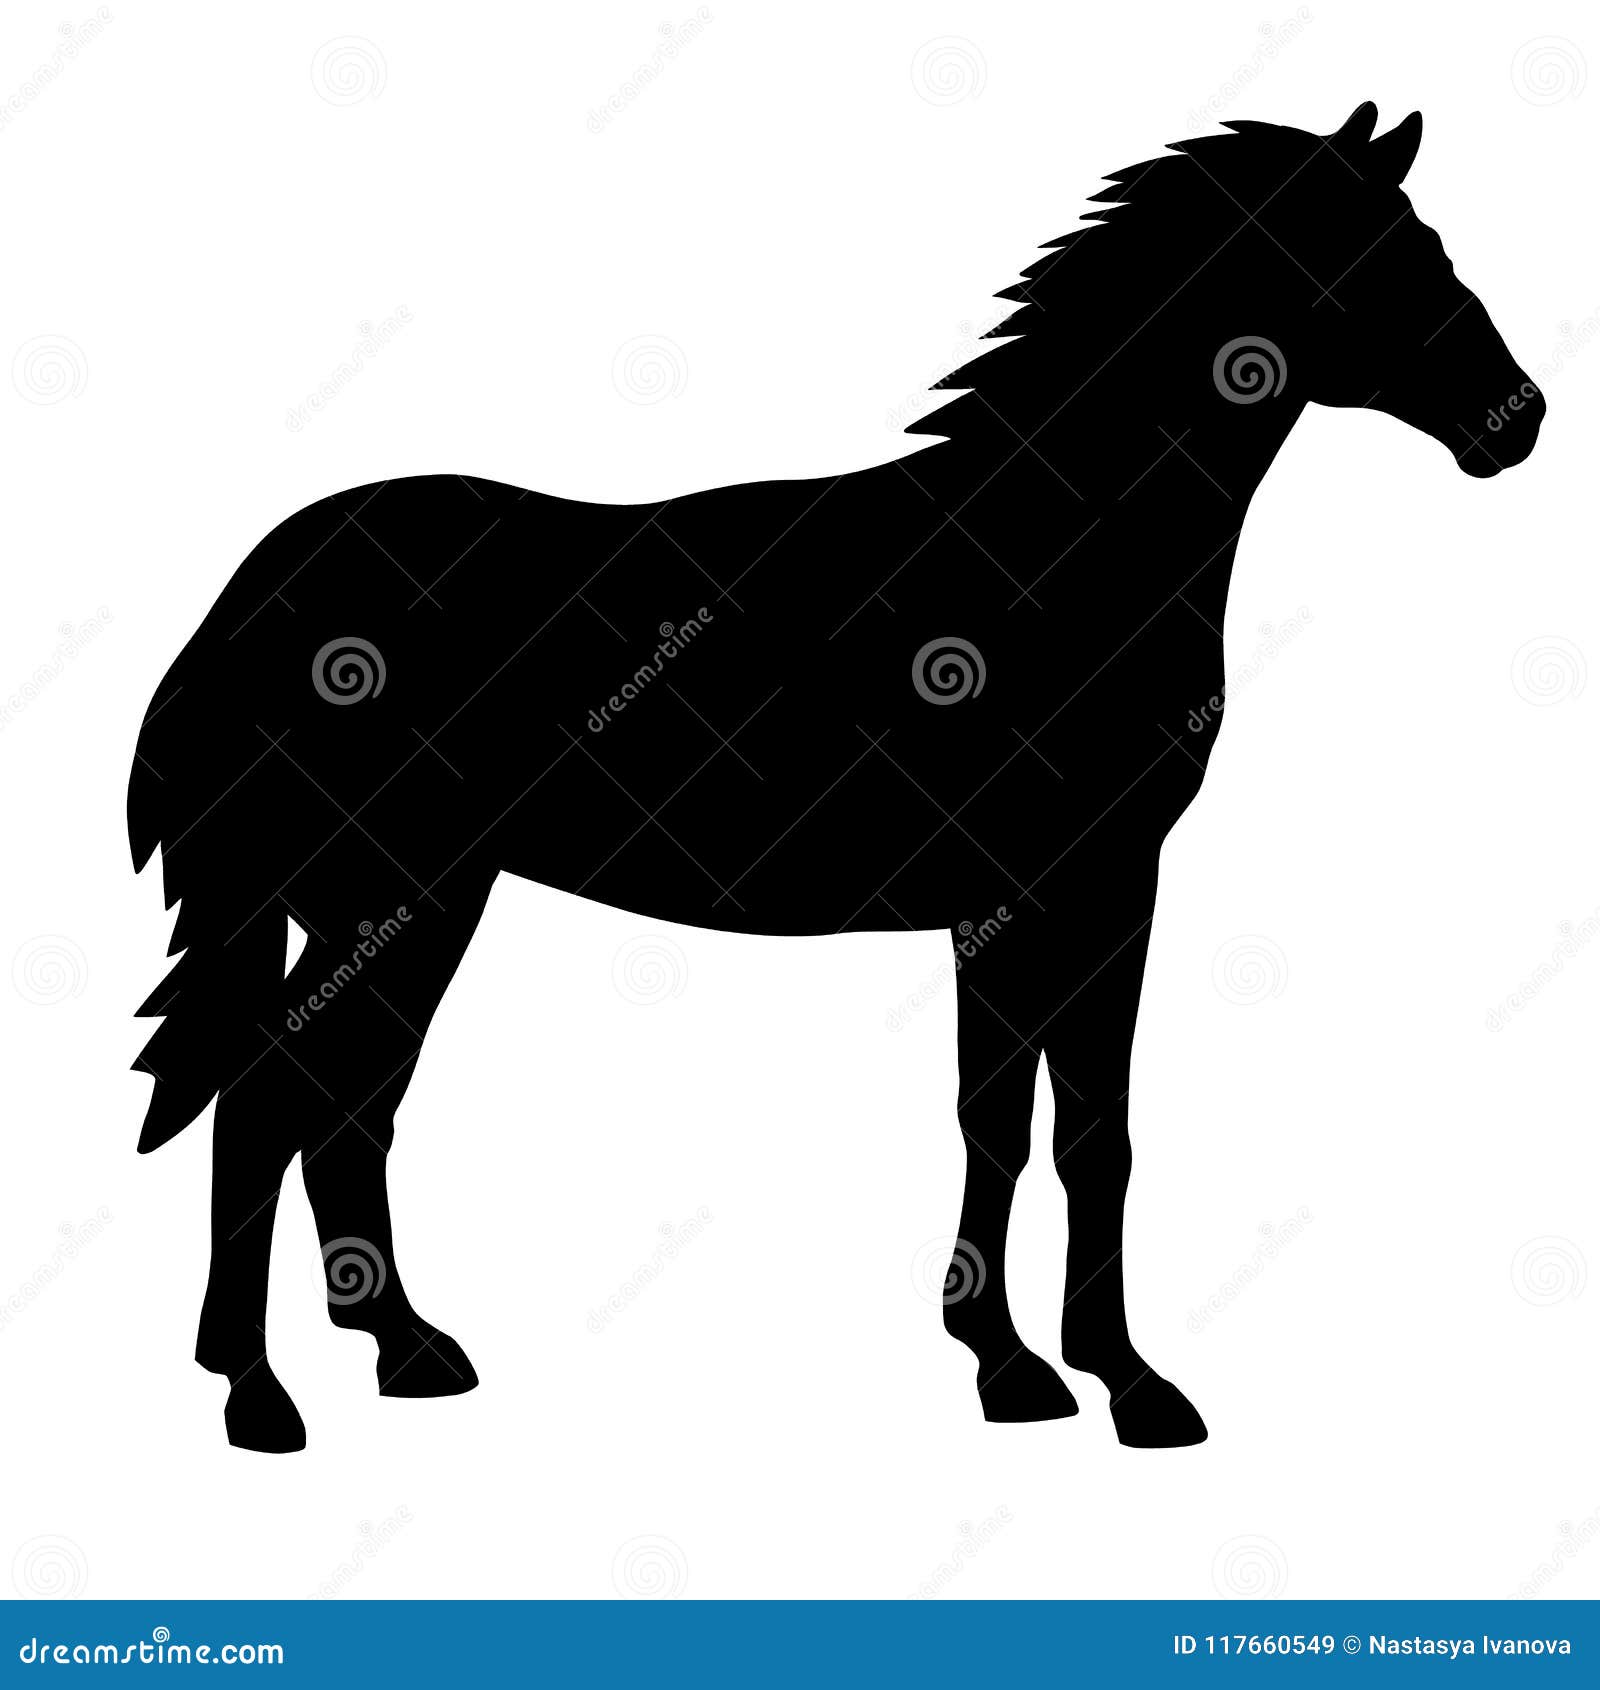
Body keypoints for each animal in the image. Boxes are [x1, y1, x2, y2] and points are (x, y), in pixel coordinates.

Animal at [128, 104, 1543, 1452]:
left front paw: (1073, 1371)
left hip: (401, 901)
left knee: (342, 1103)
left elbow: (1059, 1128)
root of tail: (251, 601)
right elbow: (1033, 1125)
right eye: (1380, 254)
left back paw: (403, 1350)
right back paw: (259, 1395)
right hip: (393, 890)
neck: (1051, 551)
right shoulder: (1050, 890)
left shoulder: (1072, 895)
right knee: (273, 1095)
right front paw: (1063, 1376)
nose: (1517, 421)